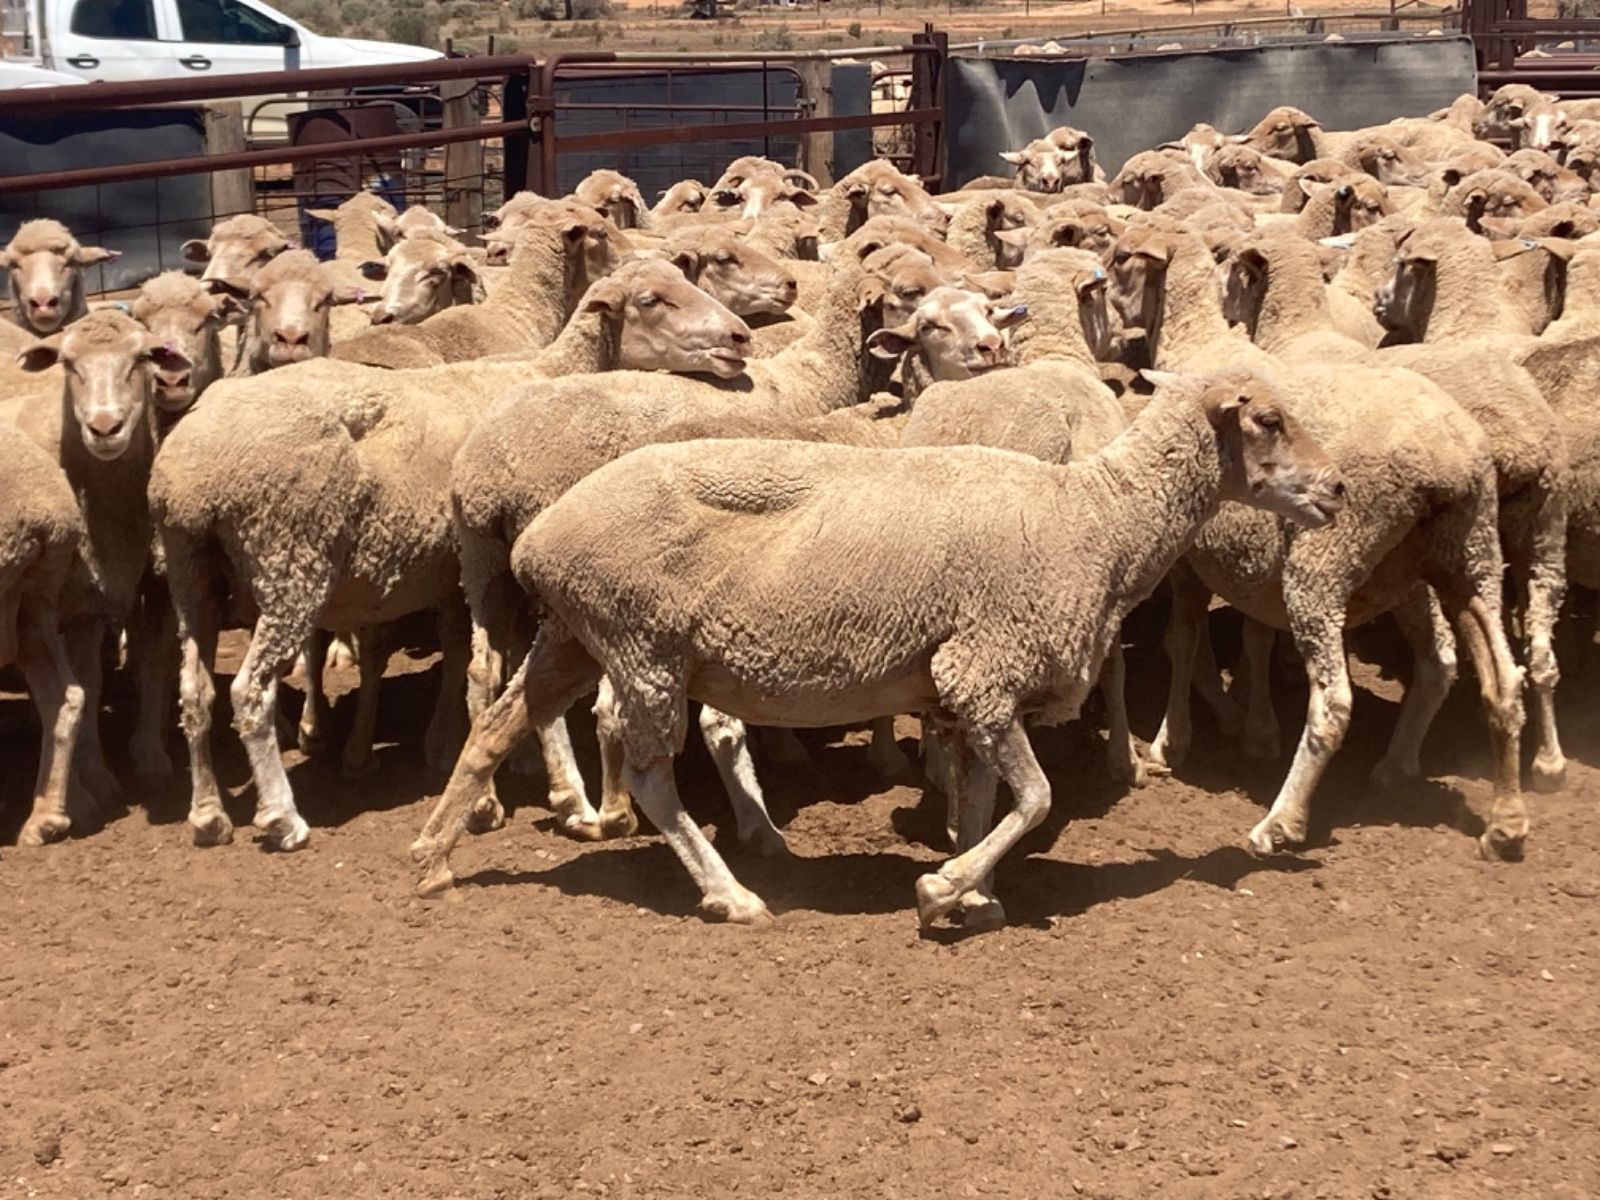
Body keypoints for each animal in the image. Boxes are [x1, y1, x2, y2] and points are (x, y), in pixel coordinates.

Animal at [149, 258, 752, 850]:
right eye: (651, 300)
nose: (739, 336)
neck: (550, 371)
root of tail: (190, 470)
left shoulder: (471, 577)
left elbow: (481, 664)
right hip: (290, 560)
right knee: (249, 690)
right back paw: (283, 817)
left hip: (191, 573)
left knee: (196, 691)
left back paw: (208, 816)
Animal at [411, 366, 1346, 929]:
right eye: (1268, 419)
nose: (1338, 489)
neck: (1098, 519)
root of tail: (538, 535)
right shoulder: (984, 669)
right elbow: (1039, 799)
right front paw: (944, 888)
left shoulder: (968, 694)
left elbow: (986, 800)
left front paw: (976, 893)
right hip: (644, 647)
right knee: (647, 776)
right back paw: (730, 892)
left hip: (576, 634)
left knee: (496, 726)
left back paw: (432, 857)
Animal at [1107, 217, 1530, 861]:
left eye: (1122, 257)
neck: (1197, 343)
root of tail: (1447, 456)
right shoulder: (1252, 562)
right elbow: (1253, 638)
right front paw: (1256, 730)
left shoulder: (1189, 558)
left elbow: (1182, 643)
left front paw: (1169, 743)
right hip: (1460, 558)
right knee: (1483, 674)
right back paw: (1486, 812)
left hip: (1325, 566)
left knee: (1334, 703)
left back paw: (1280, 822)